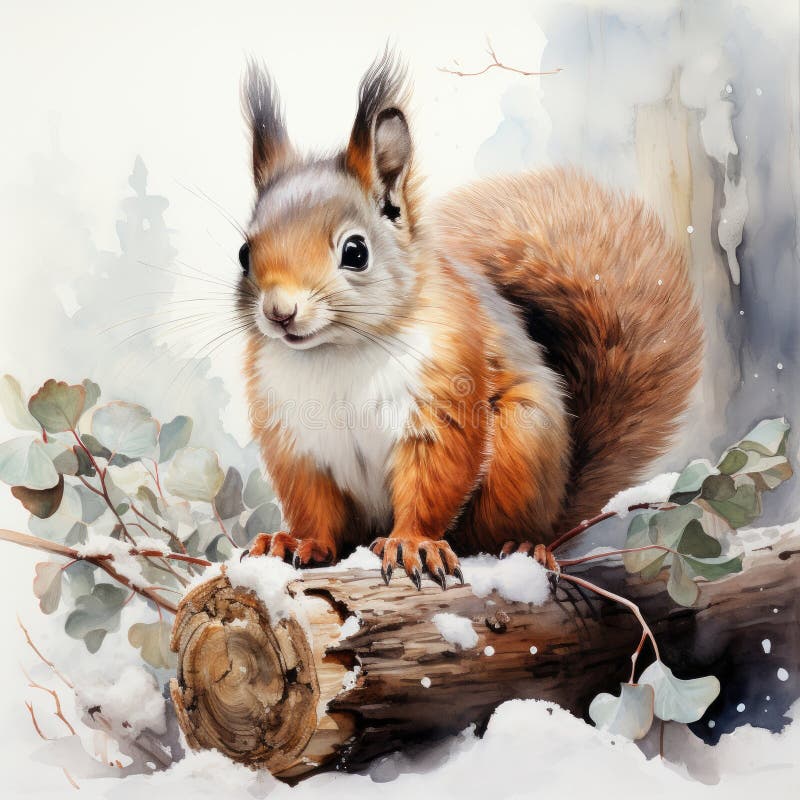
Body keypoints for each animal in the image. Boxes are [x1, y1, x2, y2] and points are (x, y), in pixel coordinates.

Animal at [237, 53, 703, 590]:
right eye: (244, 253)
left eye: (356, 252)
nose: (279, 312)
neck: (336, 351)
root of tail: (559, 508)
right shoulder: (297, 440)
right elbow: (314, 506)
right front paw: (298, 542)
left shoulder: (446, 393)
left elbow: (436, 476)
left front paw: (412, 543)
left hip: (523, 440)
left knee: (492, 532)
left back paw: (523, 545)